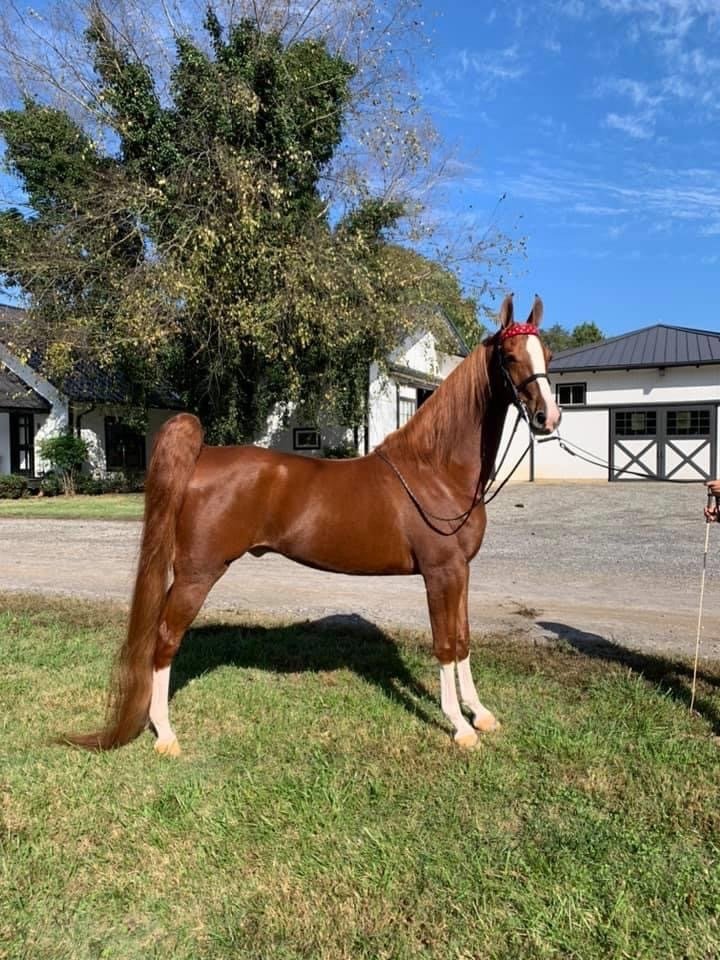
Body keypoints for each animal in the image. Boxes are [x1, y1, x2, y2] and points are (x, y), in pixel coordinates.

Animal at [65, 293, 561, 754]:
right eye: (510, 356)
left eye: (549, 355)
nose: (548, 418)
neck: (435, 469)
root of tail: (202, 456)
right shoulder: (440, 572)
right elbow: (444, 645)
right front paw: (459, 727)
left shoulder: (461, 571)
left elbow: (463, 640)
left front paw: (481, 715)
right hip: (197, 574)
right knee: (166, 639)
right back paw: (166, 735)